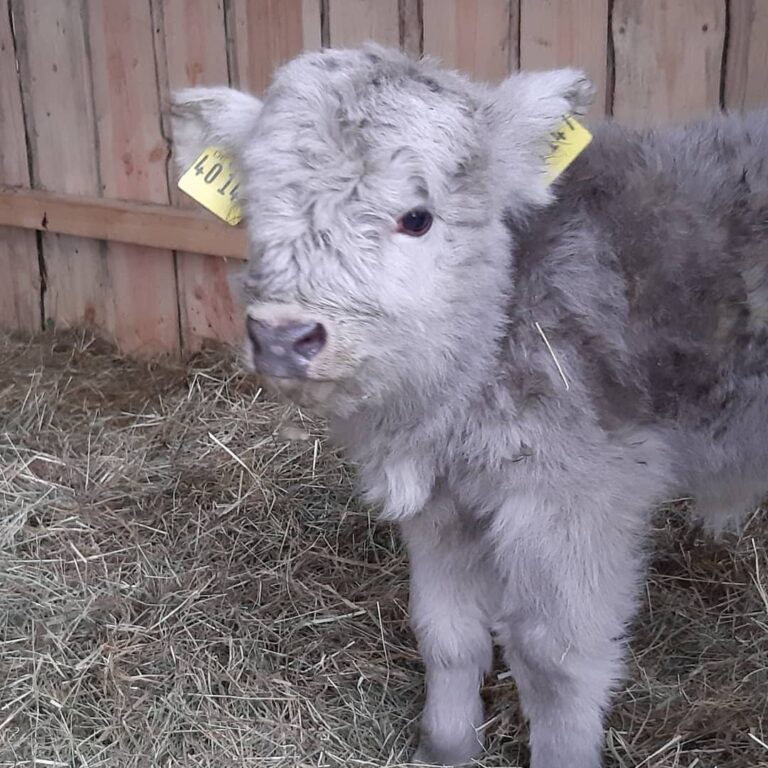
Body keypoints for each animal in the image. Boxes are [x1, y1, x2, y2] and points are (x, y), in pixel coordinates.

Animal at [170, 44, 768, 768]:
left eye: (417, 217)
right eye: (255, 206)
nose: (285, 336)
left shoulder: (577, 500)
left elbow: (554, 661)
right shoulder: (442, 507)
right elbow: (447, 634)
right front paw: (447, 746)